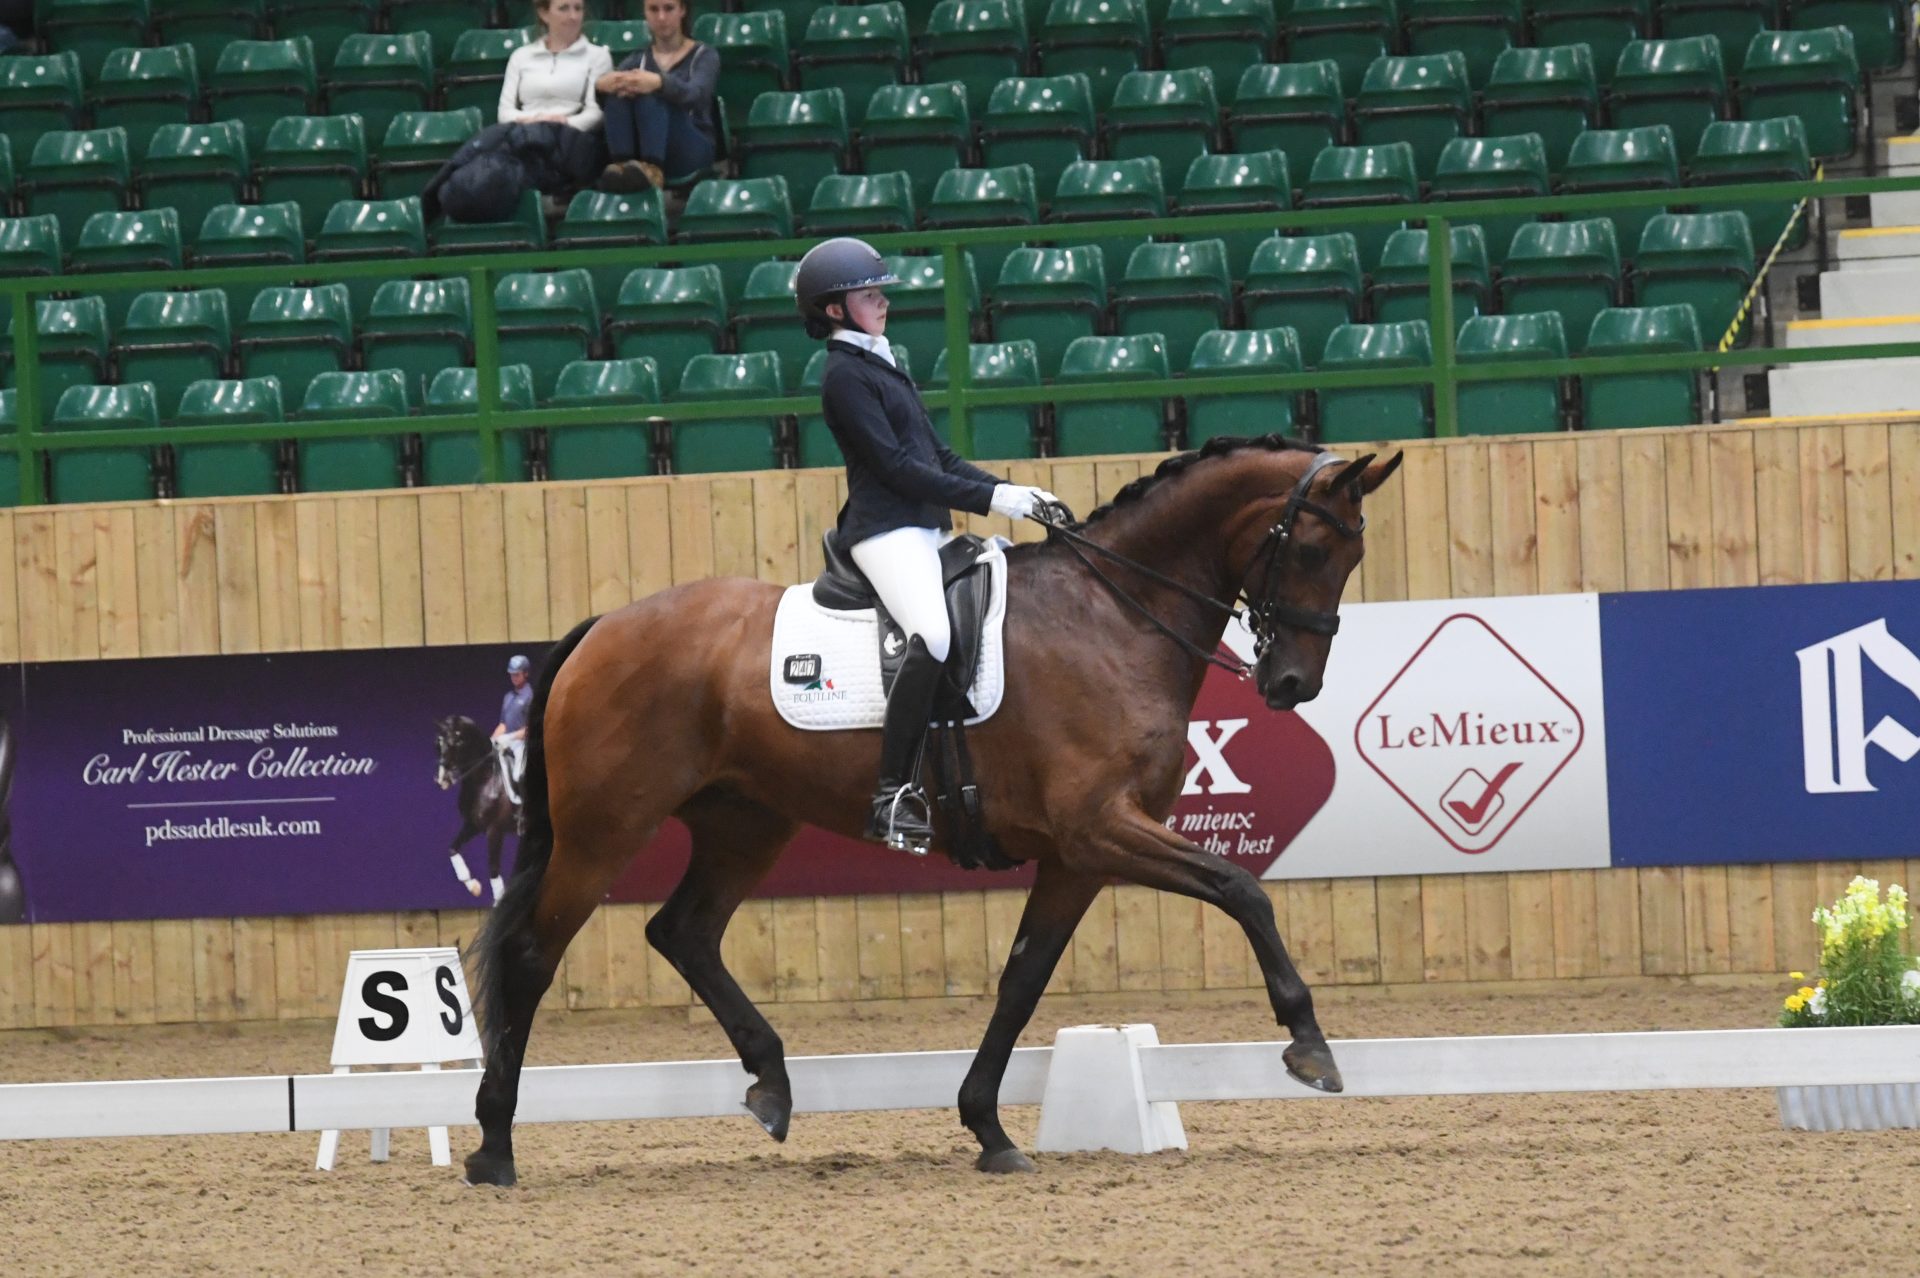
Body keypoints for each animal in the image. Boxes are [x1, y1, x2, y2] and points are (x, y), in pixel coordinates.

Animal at [435, 715, 520, 903]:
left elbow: (493, 870)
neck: (485, 780)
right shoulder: (473, 825)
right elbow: (453, 849)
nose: (443, 779)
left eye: (458, 742)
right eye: (438, 742)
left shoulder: (495, 830)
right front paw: (473, 885)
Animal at [463, 435, 1403, 1186]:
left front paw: (988, 1127)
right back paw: (494, 1147)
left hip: (746, 823)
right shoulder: (1101, 827)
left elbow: (1024, 979)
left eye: (1353, 557)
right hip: (604, 831)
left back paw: (770, 1084)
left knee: (684, 931)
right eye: (1311, 546)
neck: (1110, 616)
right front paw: (1310, 1045)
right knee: (534, 955)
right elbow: (1242, 888)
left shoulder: (1079, 856)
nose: (1292, 684)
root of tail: (603, 627)